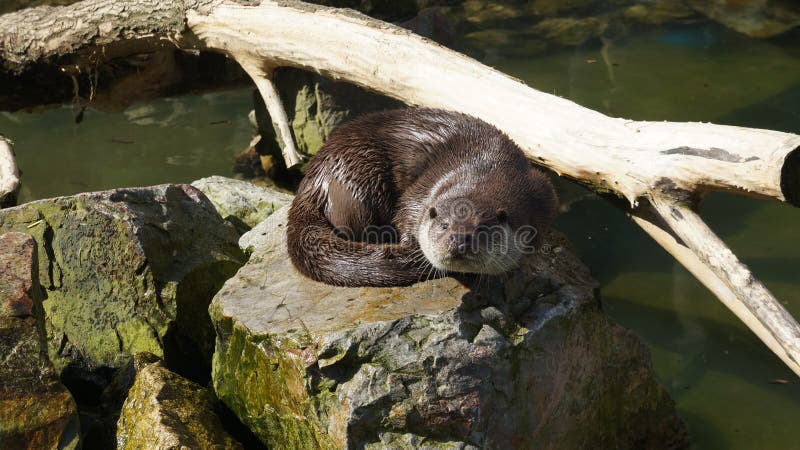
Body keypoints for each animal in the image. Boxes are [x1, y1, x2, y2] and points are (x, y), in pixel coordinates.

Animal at [287, 108, 557, 287]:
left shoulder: (542, 191)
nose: (458, 239)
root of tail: (314, 177)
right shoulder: (422, 191)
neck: (485, 170)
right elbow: (407, 211)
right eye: (444, 225)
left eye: (481, 229)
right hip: (359, 178)